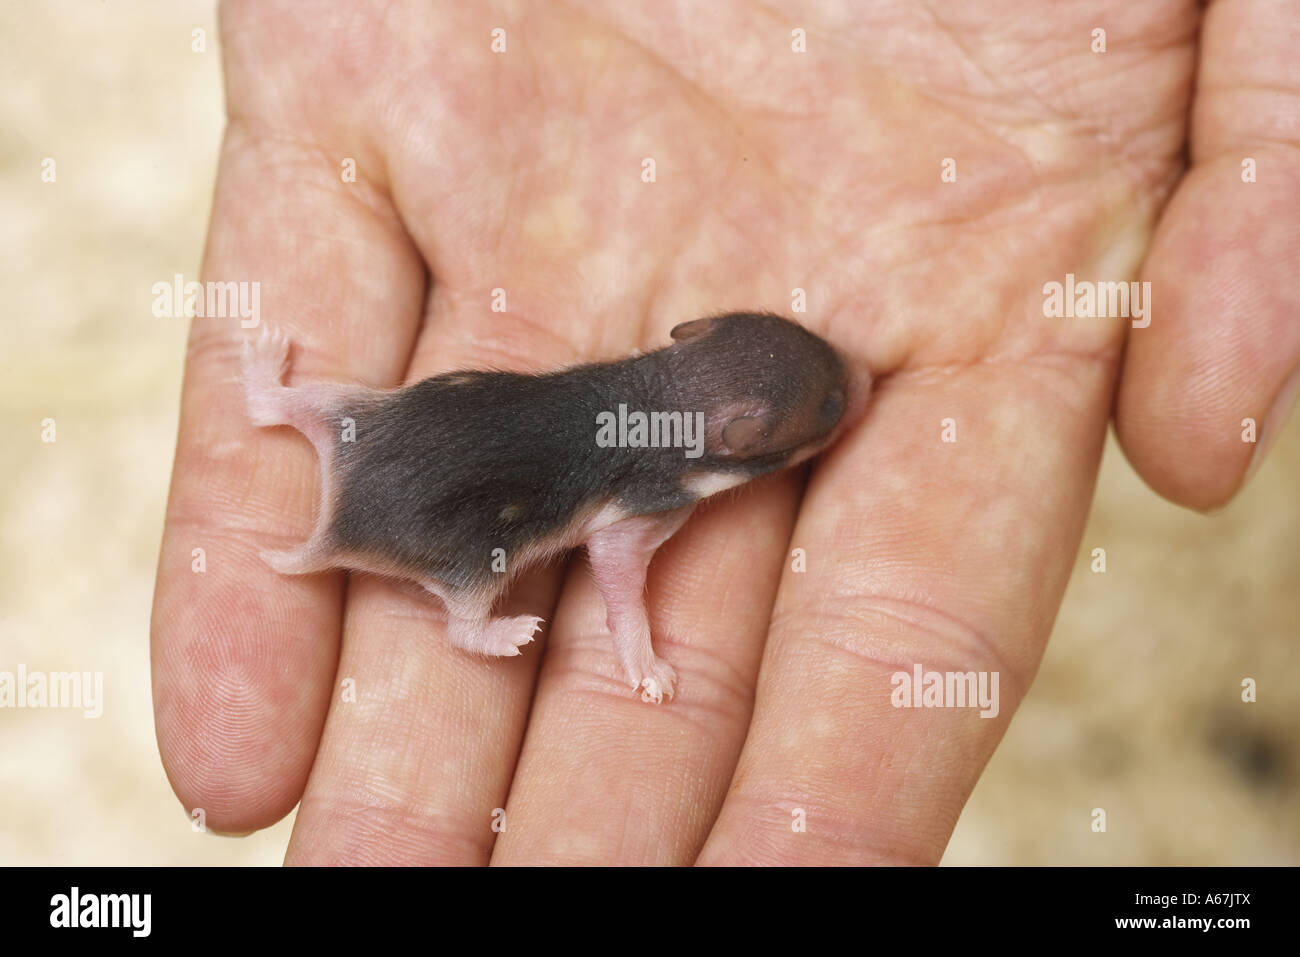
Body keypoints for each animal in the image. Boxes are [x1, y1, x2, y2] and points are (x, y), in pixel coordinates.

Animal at [241, 312, 856, 702]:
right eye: (831, 406)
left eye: (817, 341)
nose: (864, 372)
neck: (662, 393)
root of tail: (337, 519)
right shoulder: (643, 509)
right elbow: (614, 570)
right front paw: (648, 668)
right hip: (476, 562)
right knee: (461, 629)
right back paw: (506, 634)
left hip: (354, 411)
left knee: (298, 404)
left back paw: (263, 375)